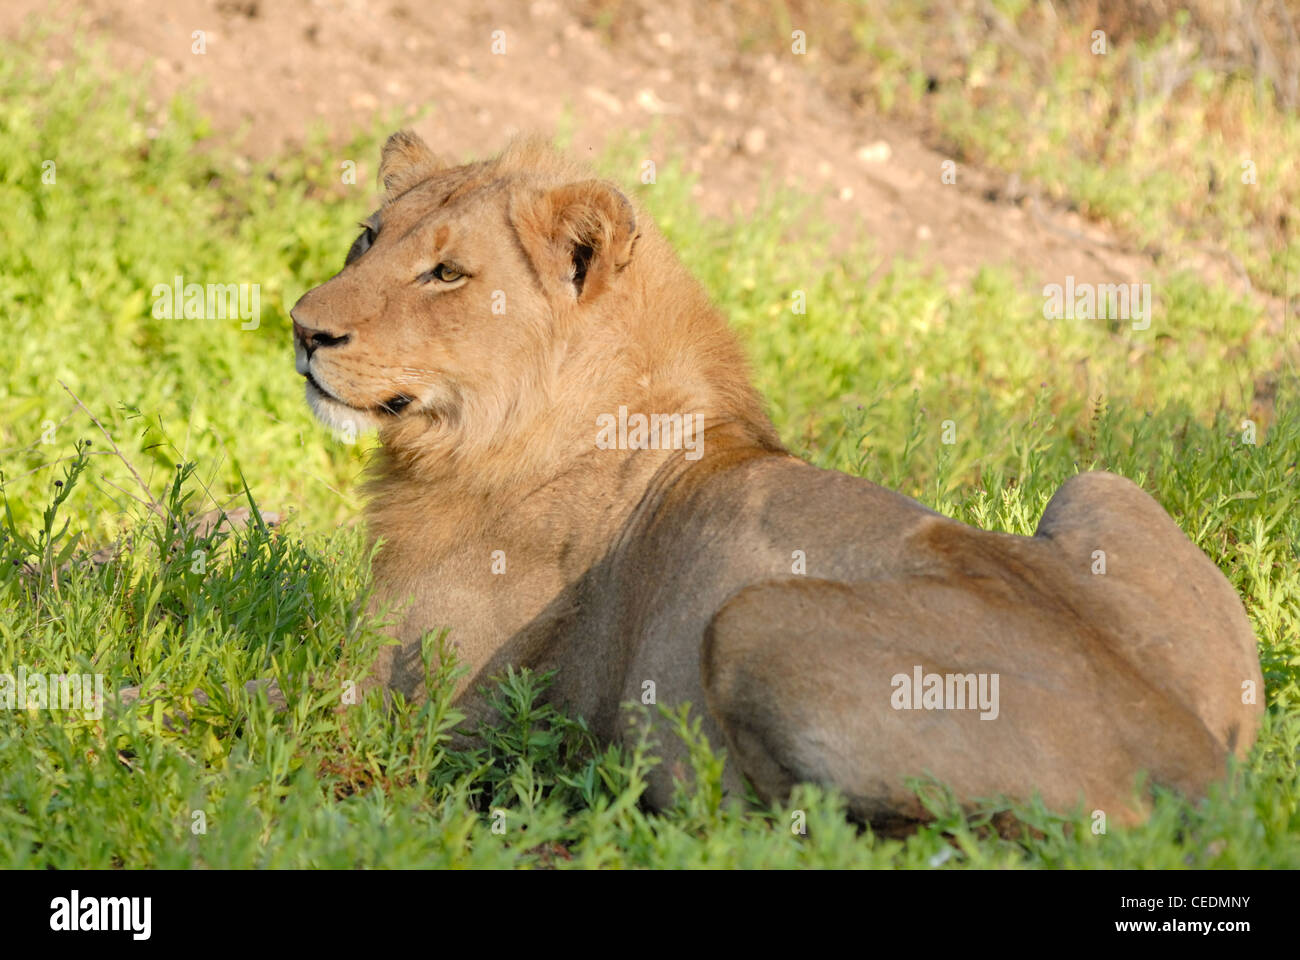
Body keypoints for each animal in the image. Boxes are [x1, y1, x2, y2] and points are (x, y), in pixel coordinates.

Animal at [288, 130, 1264, 826]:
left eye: (446, 272)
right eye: (366, 239)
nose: (301, 327)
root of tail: (1191, 749)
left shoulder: (416, 708)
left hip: (751, 616)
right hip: (1103, 485)